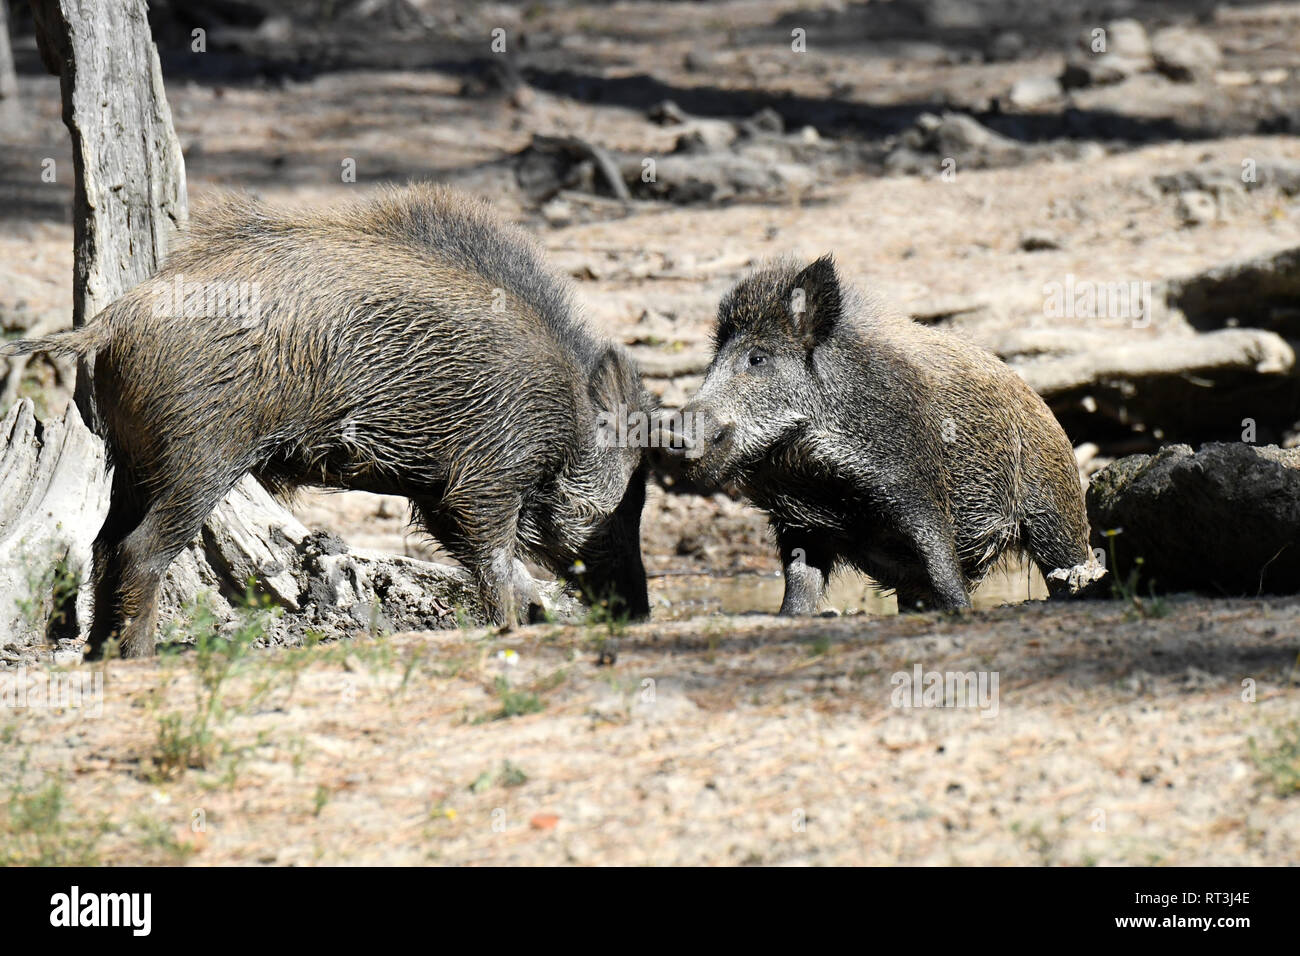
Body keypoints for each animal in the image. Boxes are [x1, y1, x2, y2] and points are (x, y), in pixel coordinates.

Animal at [3, 185, 652, 656]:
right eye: (622, 509)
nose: (642, 611)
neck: (567, 419)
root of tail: (111, 320)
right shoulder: (485, 480)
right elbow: (496, 564)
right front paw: (511, 630)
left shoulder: (439, 495)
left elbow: (499, 565)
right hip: (198, 459)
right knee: (139, 550)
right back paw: (139, 658)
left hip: (129, 458)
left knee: (103, 543)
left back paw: (99, 656)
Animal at [674, 255, 1099, 614]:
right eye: (713, 361)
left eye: (758, 358)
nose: (675, 430)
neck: (812, 471)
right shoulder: (799, 525)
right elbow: (799, 587)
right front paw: (789, 616)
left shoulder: (915, 489)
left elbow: (945, 569)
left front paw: (962, 610)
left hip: (1056, 510)